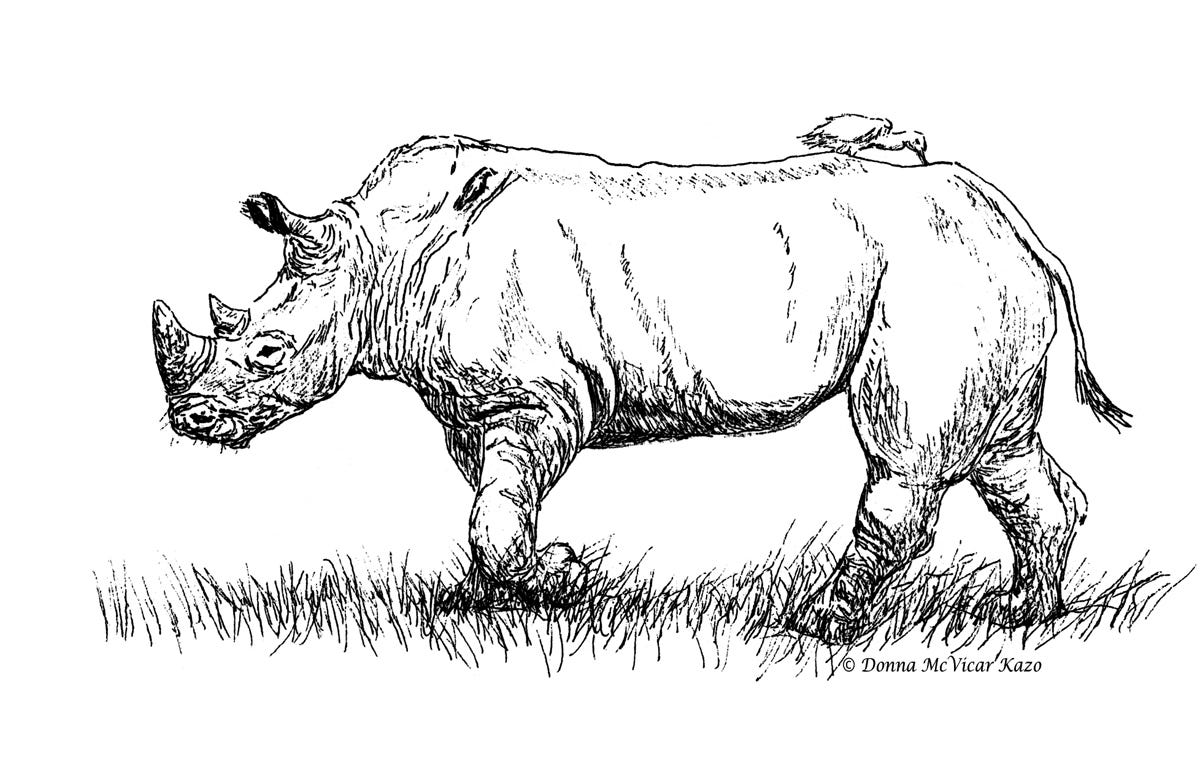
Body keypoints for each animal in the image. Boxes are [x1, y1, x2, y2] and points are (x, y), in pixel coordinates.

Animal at [152, 134, 1128, 642]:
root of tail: (1022, 230)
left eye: (269, 350)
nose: (190, 418)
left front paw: (559, 580)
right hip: (981, 281)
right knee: (1002, 452)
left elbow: (497, 513)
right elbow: (491, 503)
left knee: (909, 453)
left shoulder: (543, 398)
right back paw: (1021, 616)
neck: (381, 261)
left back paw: (816, 625)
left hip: (938, 275)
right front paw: (494, 597)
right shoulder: (472, 405)